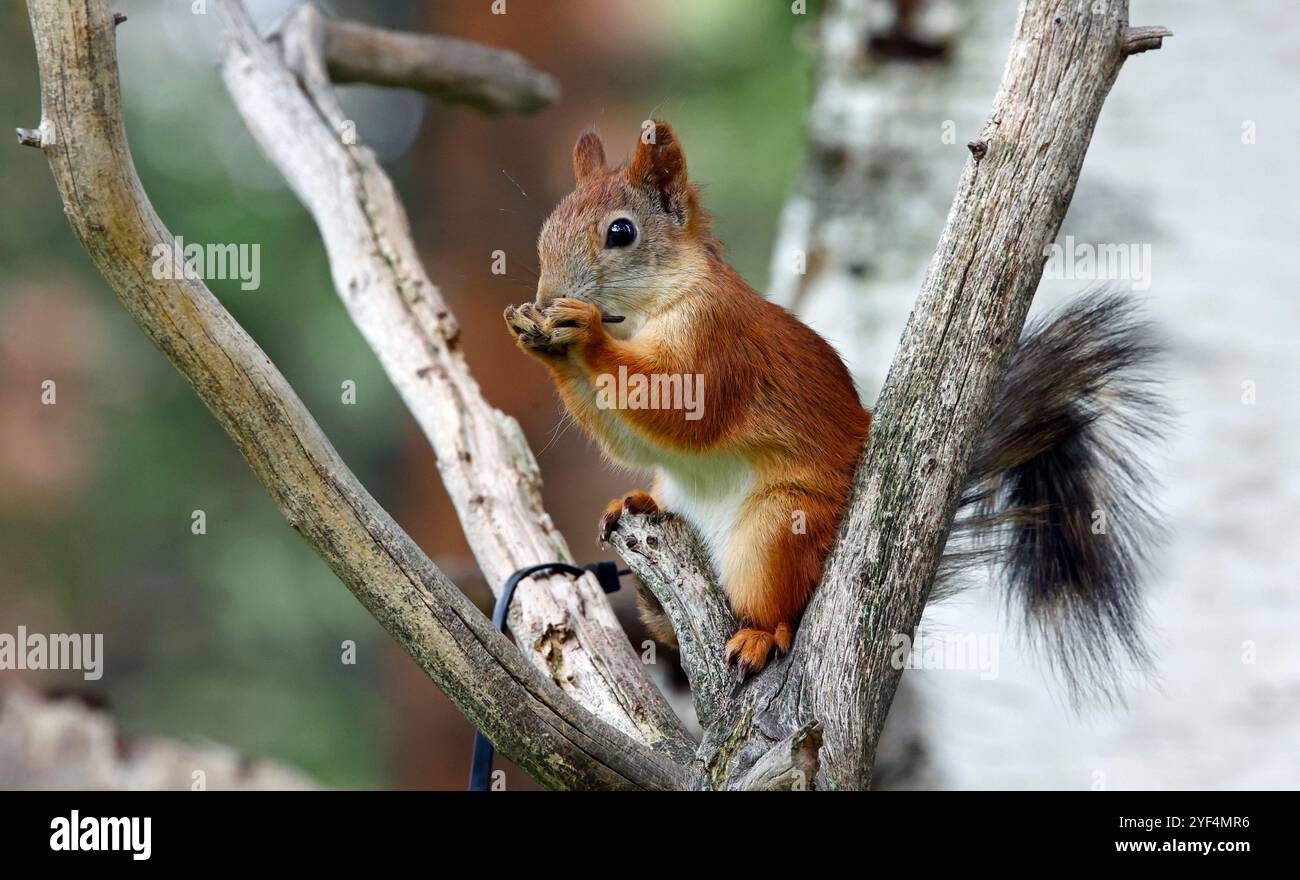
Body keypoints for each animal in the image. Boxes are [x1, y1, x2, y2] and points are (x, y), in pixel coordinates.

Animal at [505, 122, 1164, 692]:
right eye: (545, 230)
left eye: (621, 233)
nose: (546, 296)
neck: (643, 316)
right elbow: (629, 438)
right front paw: (538, 339)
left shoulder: (717, 342)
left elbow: (682, 409)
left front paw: (583, 336)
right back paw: (637, 515)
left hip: (779, 528)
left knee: (783, 614)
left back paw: (760, 636)